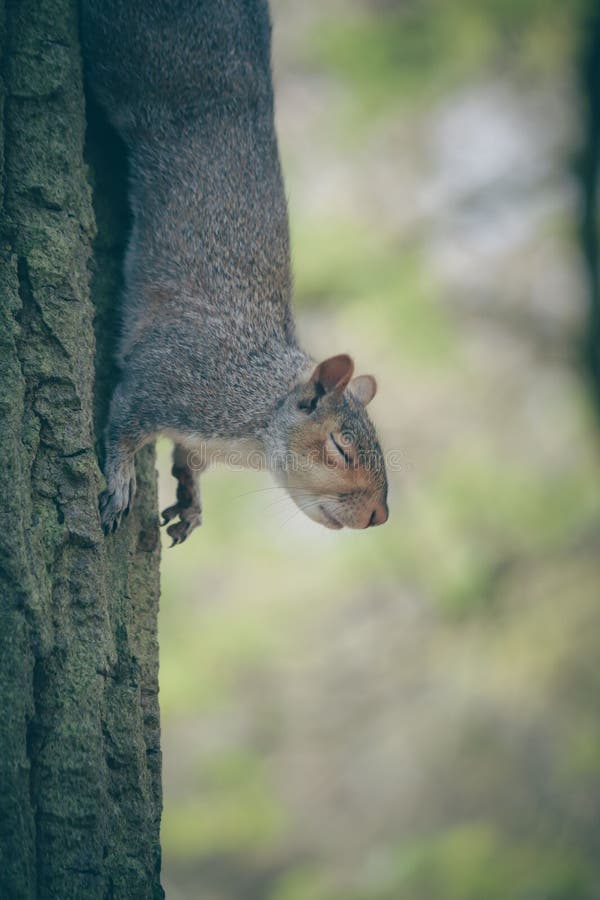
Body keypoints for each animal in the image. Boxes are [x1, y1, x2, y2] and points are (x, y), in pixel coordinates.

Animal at [81, 0, 389, 544]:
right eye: (340, 447)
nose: (380, 515)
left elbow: (188, 460)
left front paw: (190, 498)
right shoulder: (165, 381)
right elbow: (122, 426)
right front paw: (119, 482)